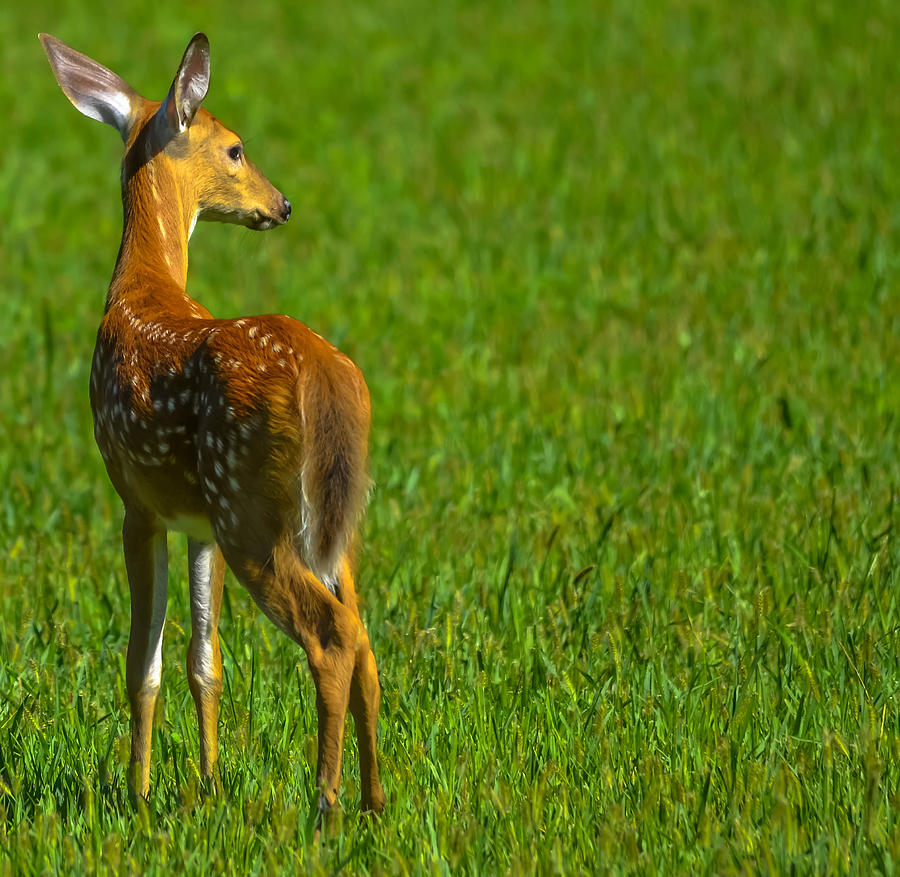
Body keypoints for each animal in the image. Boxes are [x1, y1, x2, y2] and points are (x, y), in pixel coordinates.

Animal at [39, 32, 386, 819]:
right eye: (235, 148)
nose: (282, 204)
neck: (142, 286)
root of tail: (326, 373)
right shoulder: (196, 522)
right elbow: (206, 662)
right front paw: (210, 784)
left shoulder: (138, 503)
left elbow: (143, 663)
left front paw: (138, 797)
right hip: (326, 518)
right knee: (365, 636)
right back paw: (375, 799)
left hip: (250, 508)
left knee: (331, 636)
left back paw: (325, 805)